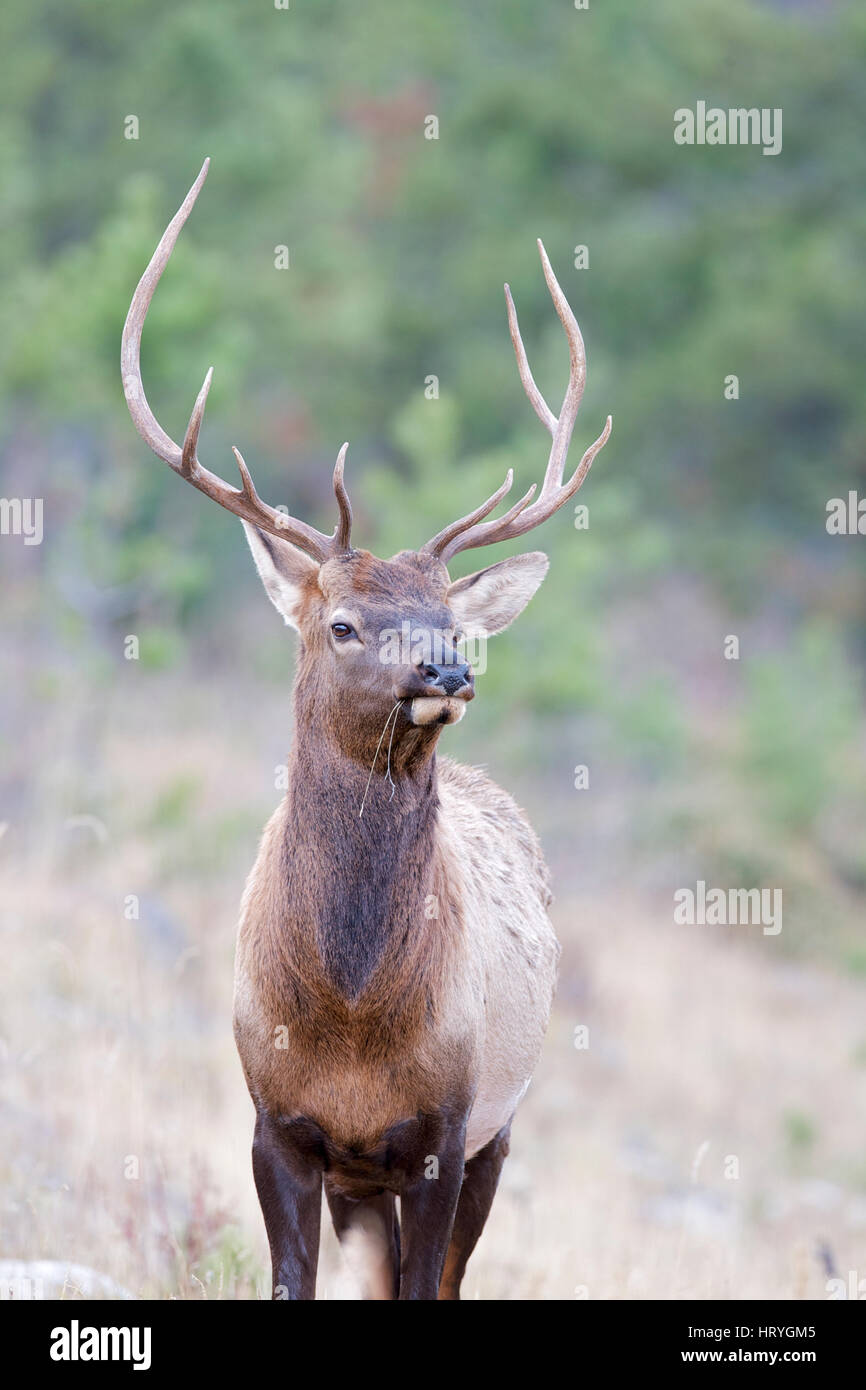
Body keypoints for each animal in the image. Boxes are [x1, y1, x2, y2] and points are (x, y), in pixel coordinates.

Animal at [121, 160, 612, 1301]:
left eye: (450, 620)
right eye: (343, 622)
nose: (448, 669)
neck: (350, 1019)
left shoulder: (444, 1128)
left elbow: (430, 1284)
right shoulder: (275, 1125)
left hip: (498, 1131)